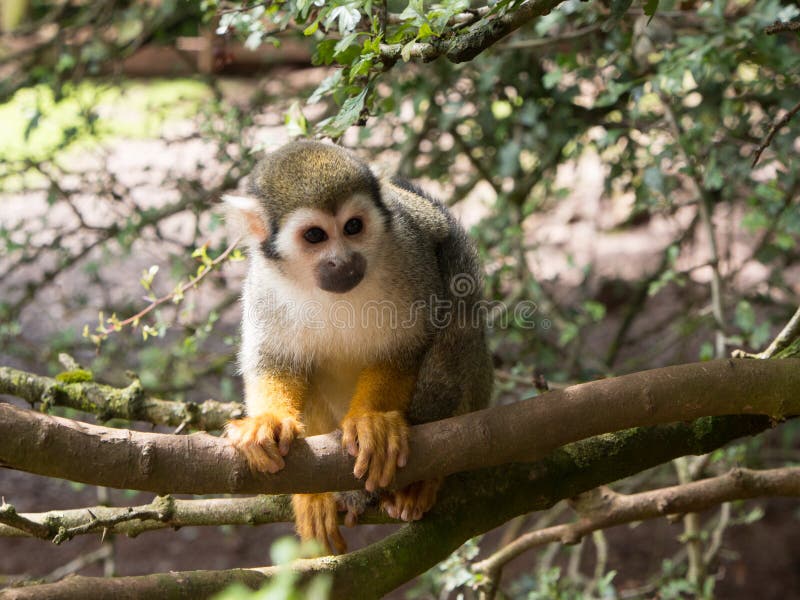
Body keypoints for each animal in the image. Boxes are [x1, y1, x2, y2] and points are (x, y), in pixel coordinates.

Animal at [223, 140, 493, 554]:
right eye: (315, 236)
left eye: (353, 227)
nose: (343, 261)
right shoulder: (263, 283)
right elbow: (275, 360)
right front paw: (267, 423)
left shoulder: (409, 250)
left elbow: (404, 347)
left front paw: (371, 422)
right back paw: (319, 495)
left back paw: (423, 481)